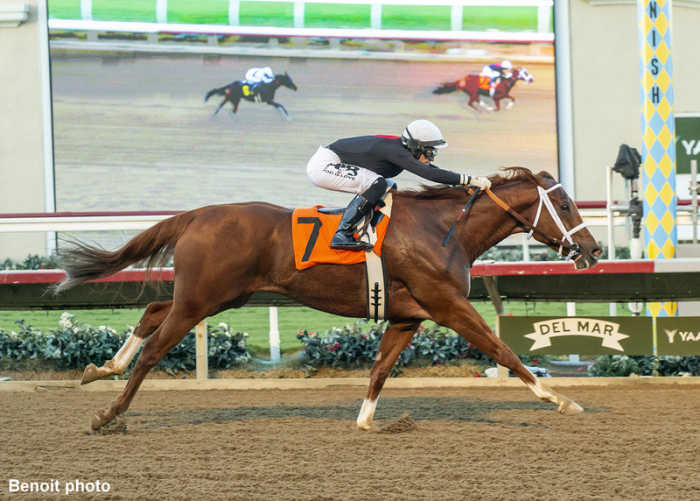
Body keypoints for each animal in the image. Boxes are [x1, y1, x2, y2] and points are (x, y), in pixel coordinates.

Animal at [54, 167, 601, 432]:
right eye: (565, 203)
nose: (593, 250)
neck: (442, 230)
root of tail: (197, 215)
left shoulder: (408, 317)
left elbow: (380, 369)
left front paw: (366, 421)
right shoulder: (449, 307)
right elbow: (504, 351)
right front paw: (559, 399)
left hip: (218, 296)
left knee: (151, 312)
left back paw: (100, 368)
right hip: (202, 300)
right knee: (153, 352)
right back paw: (108, 414)